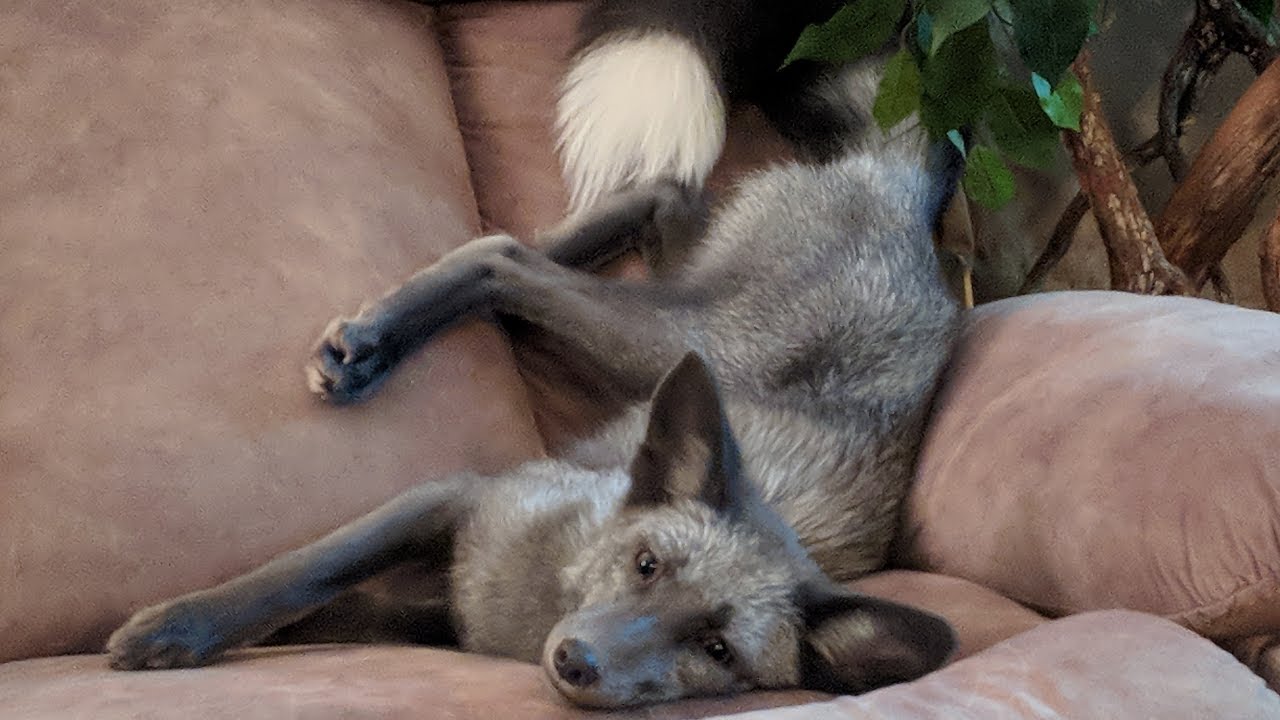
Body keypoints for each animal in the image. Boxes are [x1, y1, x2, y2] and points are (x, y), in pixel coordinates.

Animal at [106, 0, 965, 709]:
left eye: (716, 649)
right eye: (649, 564)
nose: (577, 661)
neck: (555, 580)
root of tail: (900, 185)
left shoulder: (432, 595)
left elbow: (341, 608)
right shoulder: (452, 495)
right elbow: (305, 571)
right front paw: (178, 627)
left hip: (676, 318)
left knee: (651, 198)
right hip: (677, 340)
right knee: (512, 251)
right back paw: (376, 340)